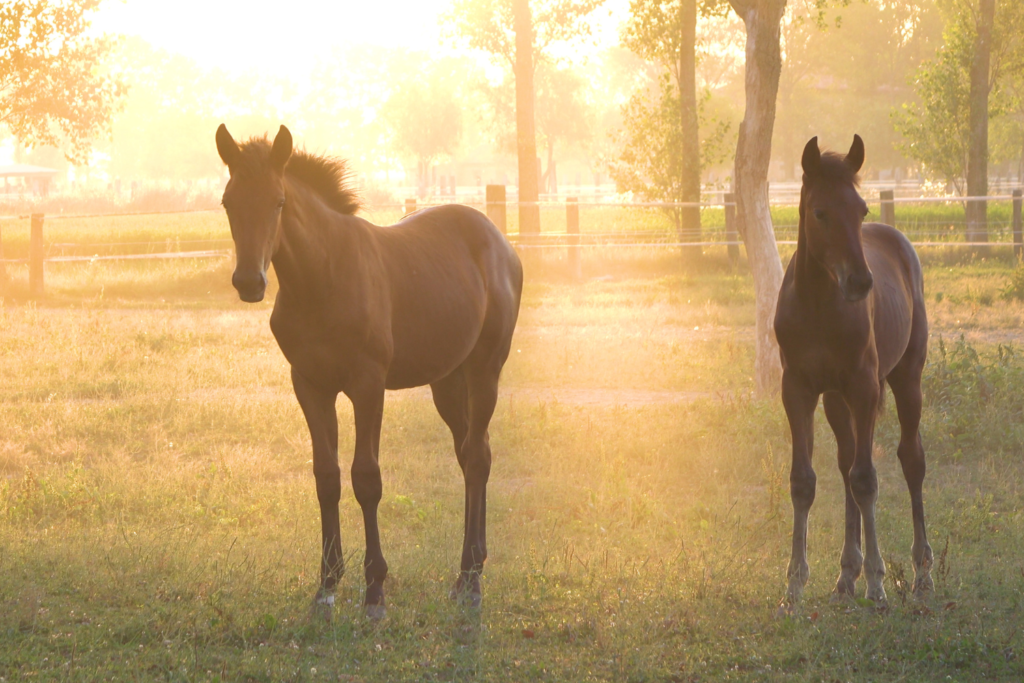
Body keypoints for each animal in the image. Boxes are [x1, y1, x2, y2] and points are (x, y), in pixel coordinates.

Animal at [215, 124, 523, 619]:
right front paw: (326, 586)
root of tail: (500, 241)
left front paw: (375, 589)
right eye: (228, 201)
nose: (249, 282)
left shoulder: (367, 385)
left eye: (278, 201)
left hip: (484, 369)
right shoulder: (309, 385)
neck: (322, 279)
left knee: (477, 456)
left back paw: (470, 580)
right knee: (471, 454)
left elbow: (366, 478)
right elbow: (326, 477)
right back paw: (468, 572)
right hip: (446, 381)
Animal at [773, 135, 933, 611]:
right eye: (819, 212)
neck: (818, 306)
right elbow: (804, 480)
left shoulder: (863, 386)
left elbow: (867, 479)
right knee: (846, 461)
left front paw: (878, 584)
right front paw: (794, 585)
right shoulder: (798, 390)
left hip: (905, 379)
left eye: (861, 209)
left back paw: (921, 574)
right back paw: (846, 575)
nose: (861, 283)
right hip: (834, 398)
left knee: (910, 459)